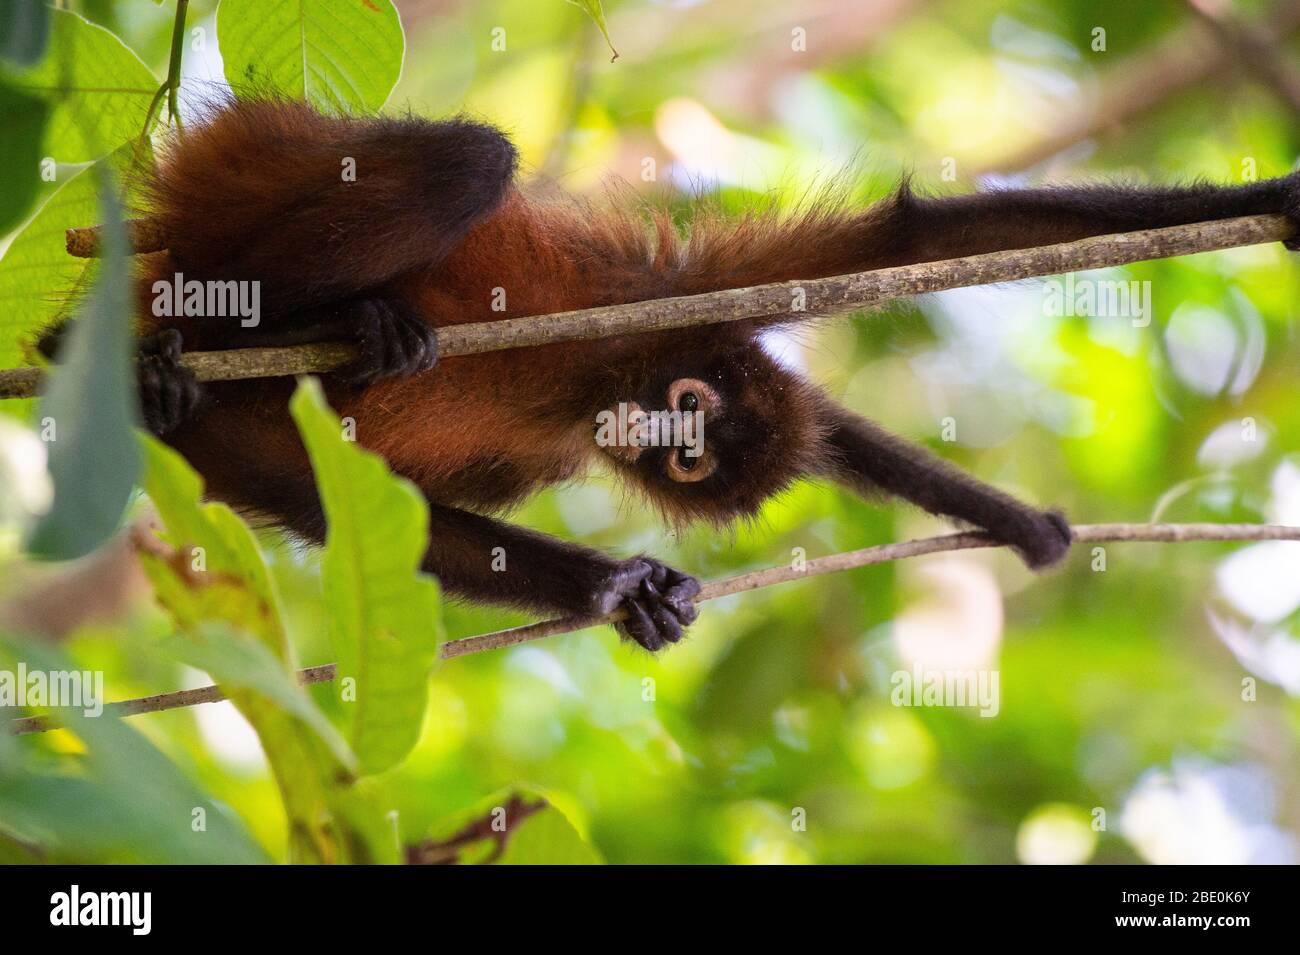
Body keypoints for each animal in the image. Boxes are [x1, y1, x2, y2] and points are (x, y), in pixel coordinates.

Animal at [48, 98, 1300, 652]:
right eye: (685, 418)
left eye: (691, 456)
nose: (655, 438)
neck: (597, 382)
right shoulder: (670, 300)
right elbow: (903, 241)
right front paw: (1277, 199)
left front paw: (626, 593)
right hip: (261, 155)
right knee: (470, 164)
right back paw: (266, 323)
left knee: (298, 479)